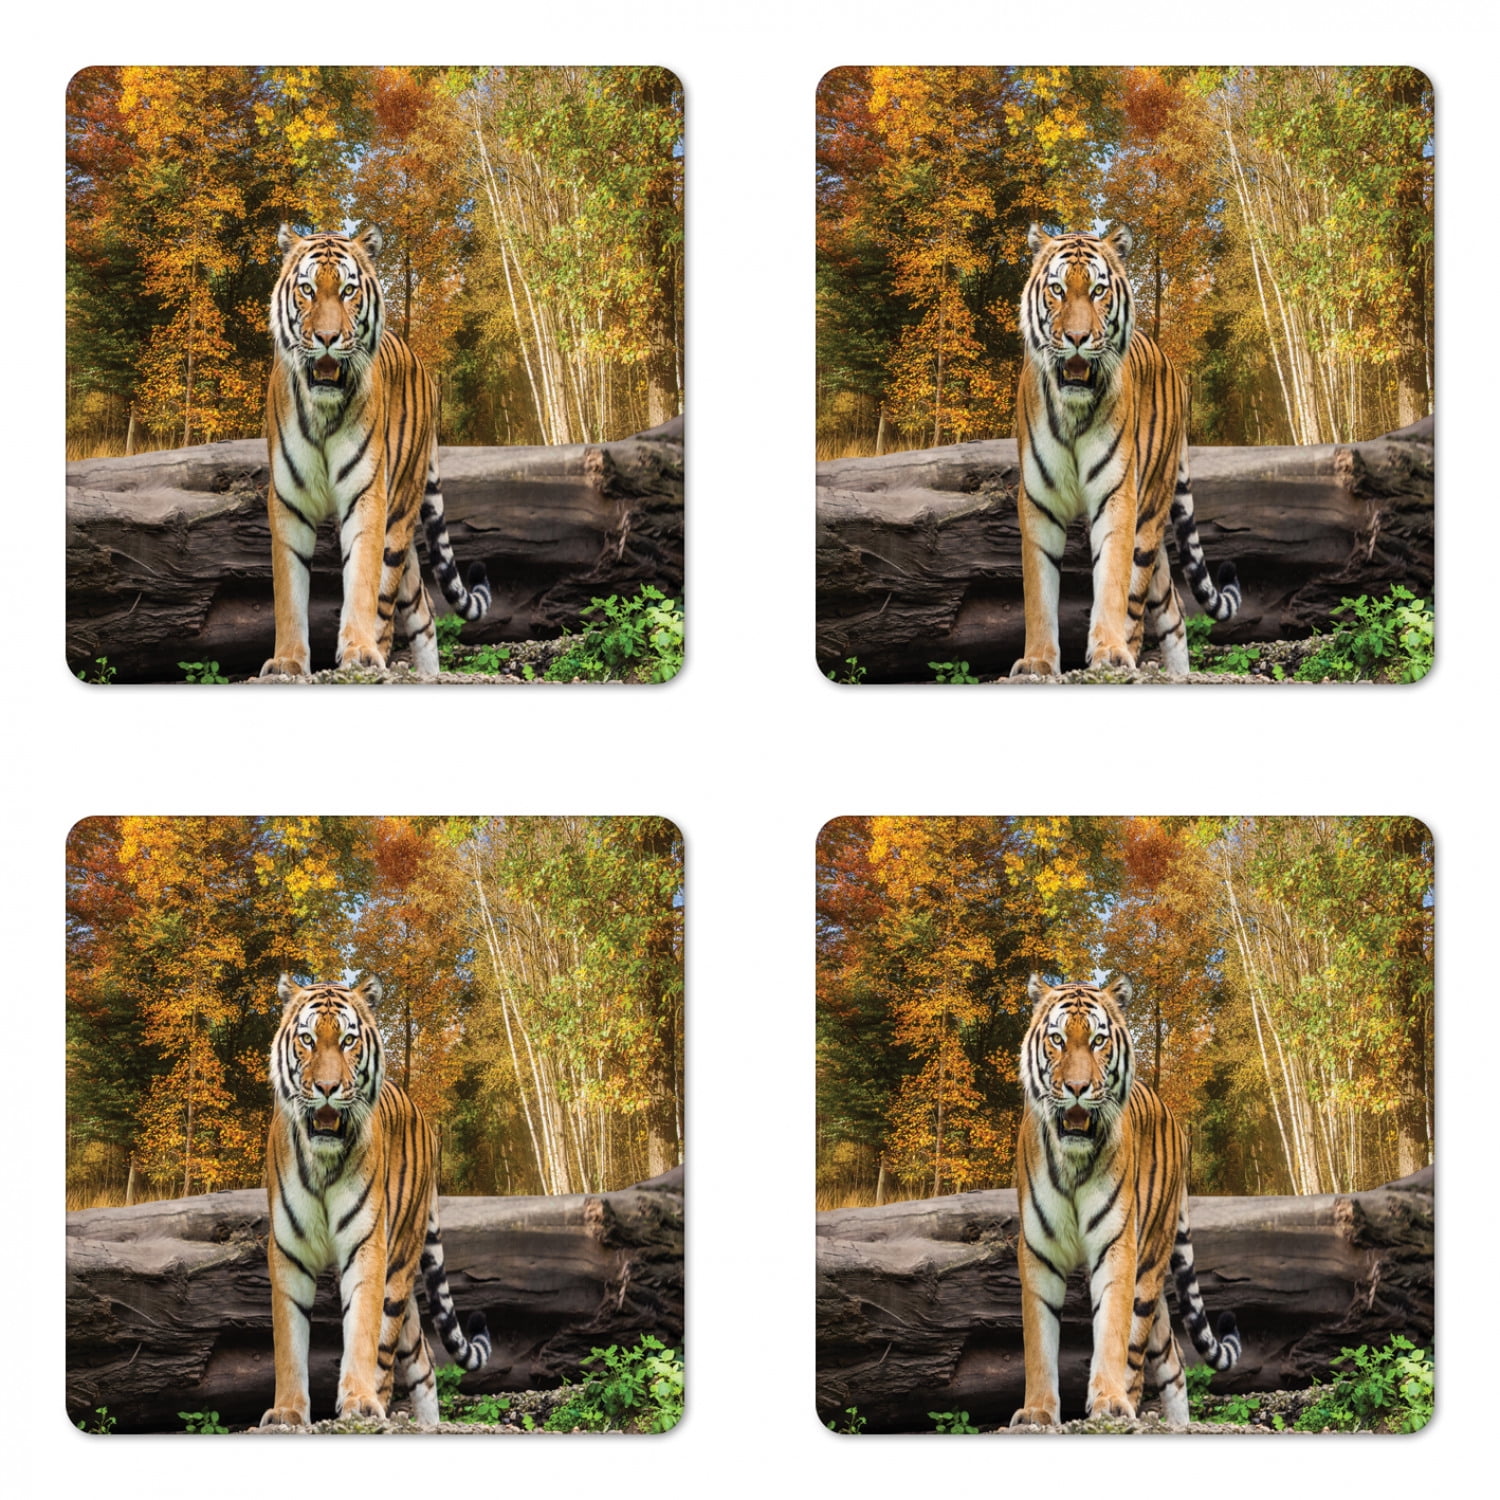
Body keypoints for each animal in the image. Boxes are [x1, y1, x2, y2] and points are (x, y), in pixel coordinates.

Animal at [261, 225, 491, 678]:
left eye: (348, 290)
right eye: (307, 290)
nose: (327, 339)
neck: (324, 412)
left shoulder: (368, 496)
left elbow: (363, 582)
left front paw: (359, 651)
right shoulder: (288, 502)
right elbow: (288, 592)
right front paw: (287, 661)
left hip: (399, 511)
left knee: (391, 601)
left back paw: (380, 656)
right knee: (423, 608)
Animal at [261, 974, 491, 1428]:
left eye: (348, 1040)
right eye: (307, 1039)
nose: (327, 1088)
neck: (324, 1162)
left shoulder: (368, 1246)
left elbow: (363, 1332)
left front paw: (359, 1401)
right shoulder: (288, 1252)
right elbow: (288, 1342)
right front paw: (287, 1411)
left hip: (399, 1260)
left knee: (391, 1350)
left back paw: (380, 1406)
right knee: (423, 1359)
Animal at [1011, 225, 1240, 677]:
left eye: (1098, 290)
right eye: (1057, 290)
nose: (1077, 339)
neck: (1074, 411)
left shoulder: (1118, 496)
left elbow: (1113, 582)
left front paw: (1109, 651)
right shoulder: (1038, 502)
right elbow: (1038, 592)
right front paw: (1037, 661)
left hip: (1149, 512)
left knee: (1141, 601)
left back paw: (1129, 656)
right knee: (1174, 608)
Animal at [1012, 974, 1240, 1427]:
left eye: (1098, 1040)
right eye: (1057, 1040)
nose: (1077, 1088)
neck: (1074, 1162)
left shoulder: (1118, 1246)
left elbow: (1113, 1332)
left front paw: (1109, 1401)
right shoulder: (1038, 1251)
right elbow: (1038, 1342)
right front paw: (1037, 1411)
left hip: (1149, 1261)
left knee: (1140, 1351)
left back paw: (1130, 1406)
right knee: (1173, 1359)